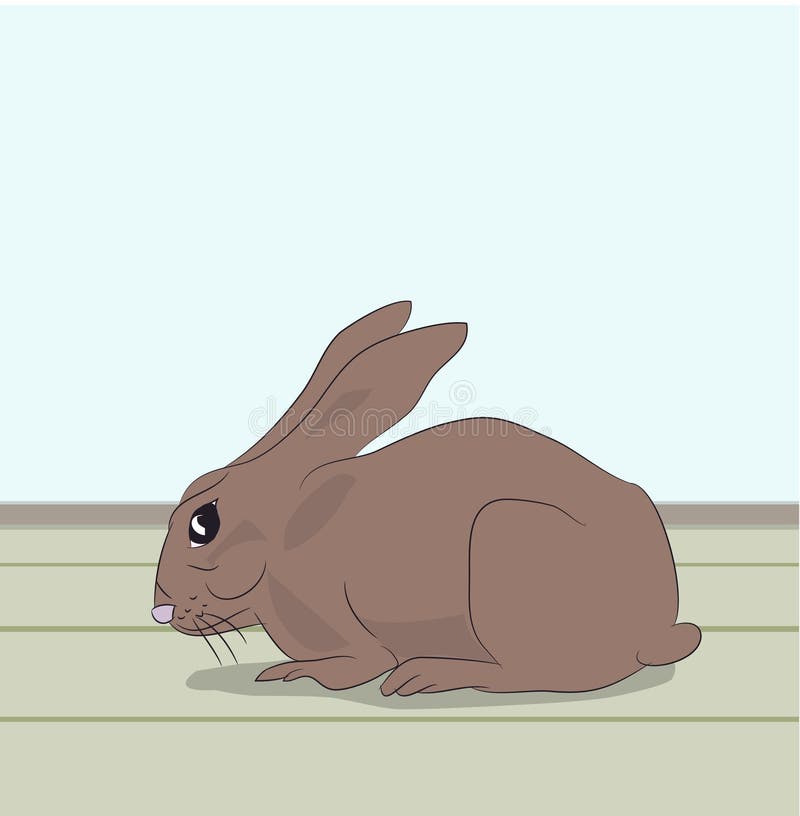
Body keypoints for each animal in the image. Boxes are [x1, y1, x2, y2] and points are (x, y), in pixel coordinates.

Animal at [152, 301, 701, 696]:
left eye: (203, 525)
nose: (160, 611)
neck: (281, 532)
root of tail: (652, 628)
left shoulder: (346, 631)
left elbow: (359, 666)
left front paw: (292, 673)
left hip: (505, 541)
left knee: (550, 674)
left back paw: (434, 674)